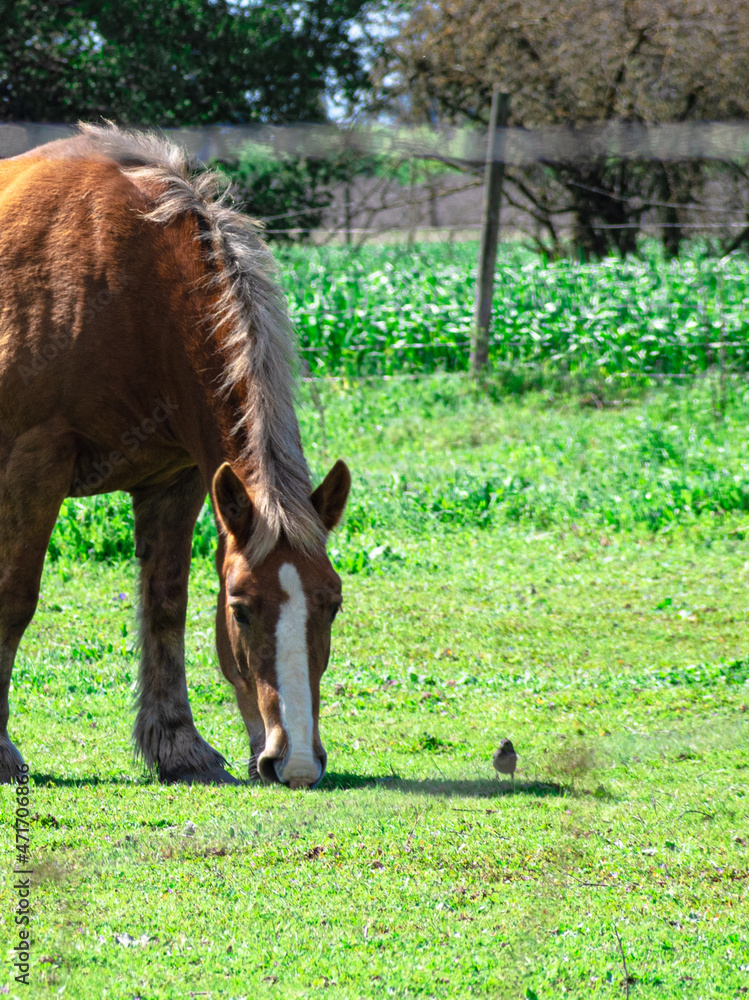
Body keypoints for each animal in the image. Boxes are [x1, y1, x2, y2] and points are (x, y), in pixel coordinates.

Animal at [0, 123, 350, 789]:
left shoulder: (180, 480)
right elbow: (16, 596)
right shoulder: (34, 462)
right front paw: (1, 751)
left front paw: (178, 745)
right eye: (241, 608)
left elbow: (166, 604)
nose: (293, 762)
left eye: (334, 603)